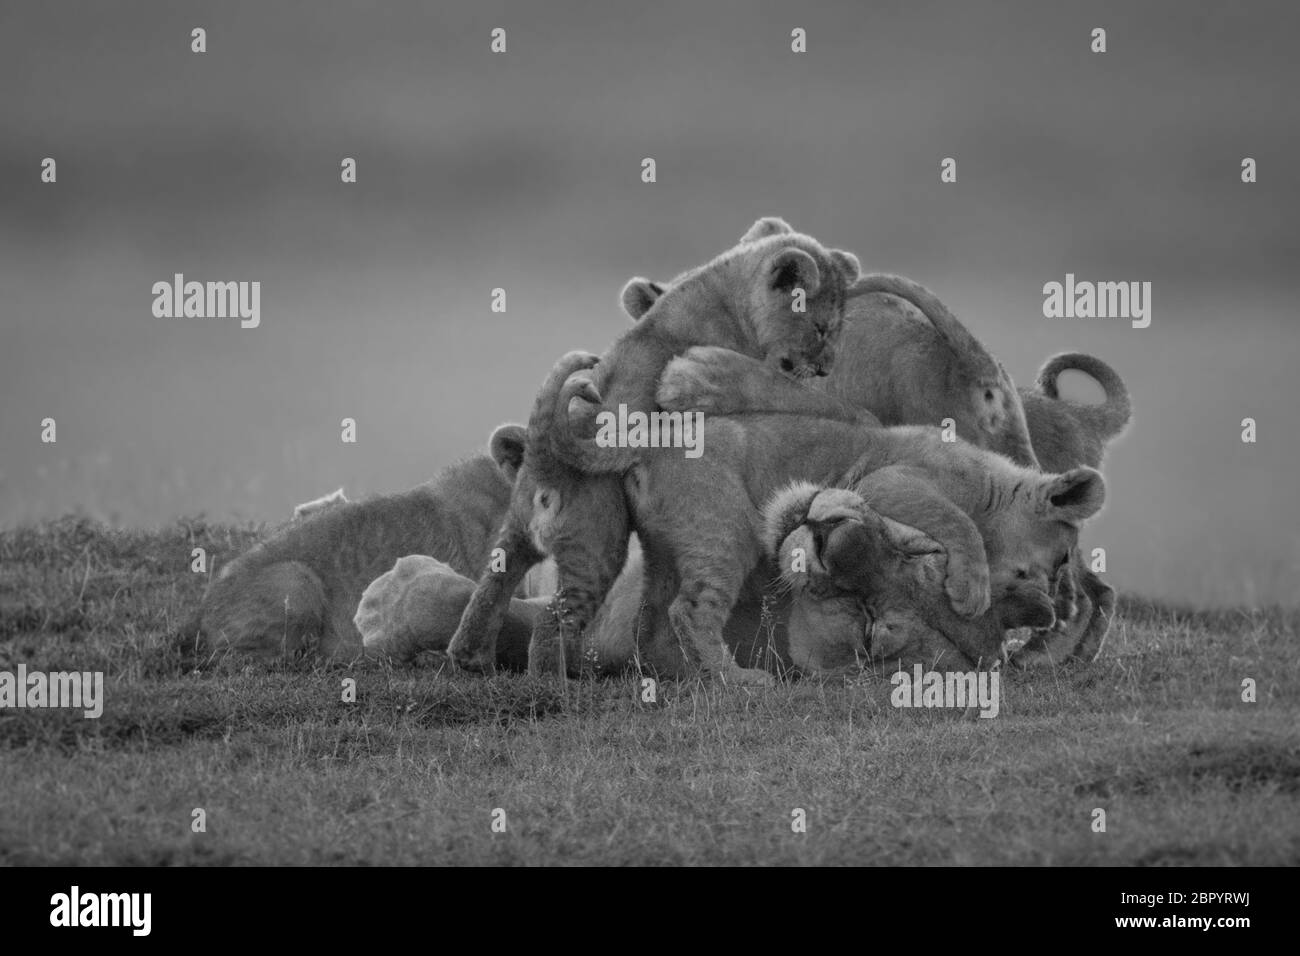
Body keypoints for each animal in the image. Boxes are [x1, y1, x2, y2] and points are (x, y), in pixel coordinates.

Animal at [445, 217, 864, 676]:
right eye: (821, 328)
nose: (825, 368)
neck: (726, 290)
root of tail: (542, 462)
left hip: (515, 534)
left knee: (491, 588)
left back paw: (470, 656)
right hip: (598, 544)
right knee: (555, 619)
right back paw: (555, 678)